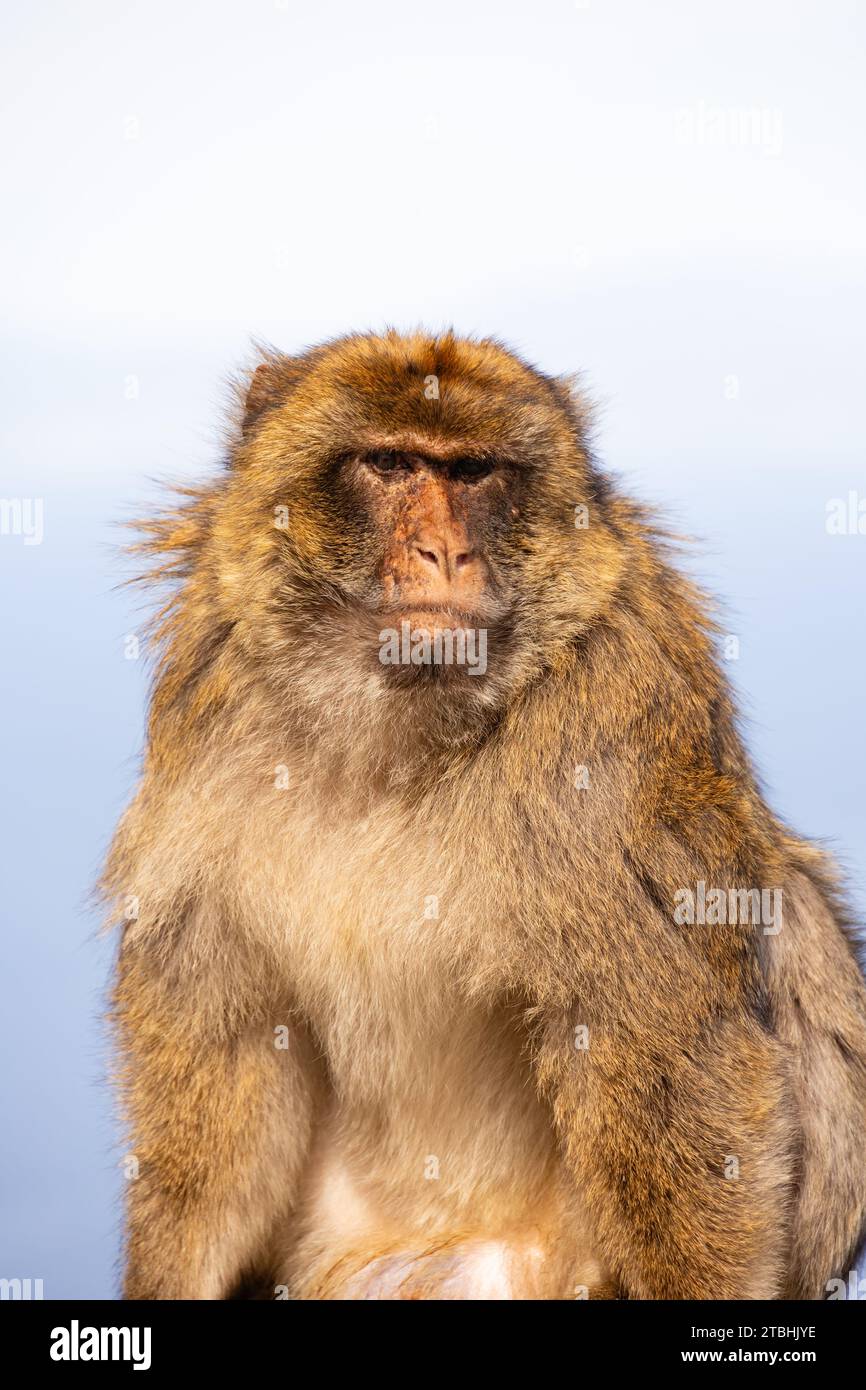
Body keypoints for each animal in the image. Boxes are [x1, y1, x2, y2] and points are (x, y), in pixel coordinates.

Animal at [103, 328, 866, 1300]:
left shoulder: (616, 718)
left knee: (795, 908)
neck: (396, 727)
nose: (446, 554)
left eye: (474, 473)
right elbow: (221, 1053)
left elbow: (664, 1042)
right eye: (391, 464)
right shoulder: (216, 694)